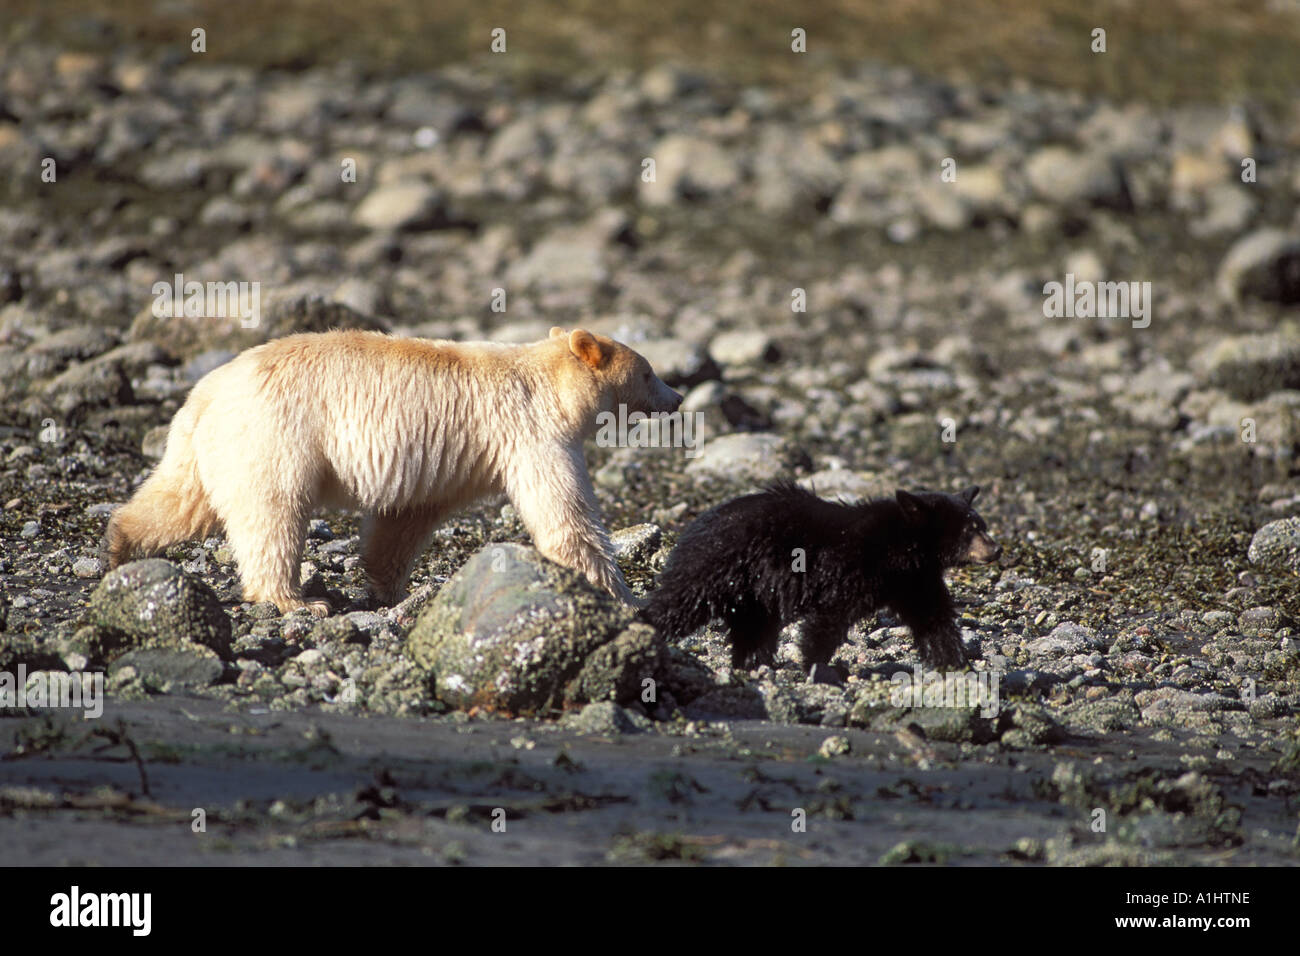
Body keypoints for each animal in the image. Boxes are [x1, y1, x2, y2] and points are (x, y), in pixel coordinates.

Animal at [104, 327, 682, 614]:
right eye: (649, 371)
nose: (676, 398)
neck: (550, 383)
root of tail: (204, 392)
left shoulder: (453, 457)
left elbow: (405, 518)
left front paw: (389, 588)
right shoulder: (529, 431)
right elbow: (566, 517)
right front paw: (627, 597)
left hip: (210, 447)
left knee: (181, 501)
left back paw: (119, 543)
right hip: (274, 435)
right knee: (273, 515)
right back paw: (297, 600)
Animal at [644, 482, 1001, 672]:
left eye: (980, 524)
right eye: (970, 530)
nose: (996, 549)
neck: (903, 546)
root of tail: (690, 526)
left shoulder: (914, 579)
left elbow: (934, 618)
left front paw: (956, 663)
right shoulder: (852, 568)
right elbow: (829, 618)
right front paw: (815, 666)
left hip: (751, 593)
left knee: (755, 628)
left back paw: (755, 663)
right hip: (715, 567)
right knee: (680, 602)